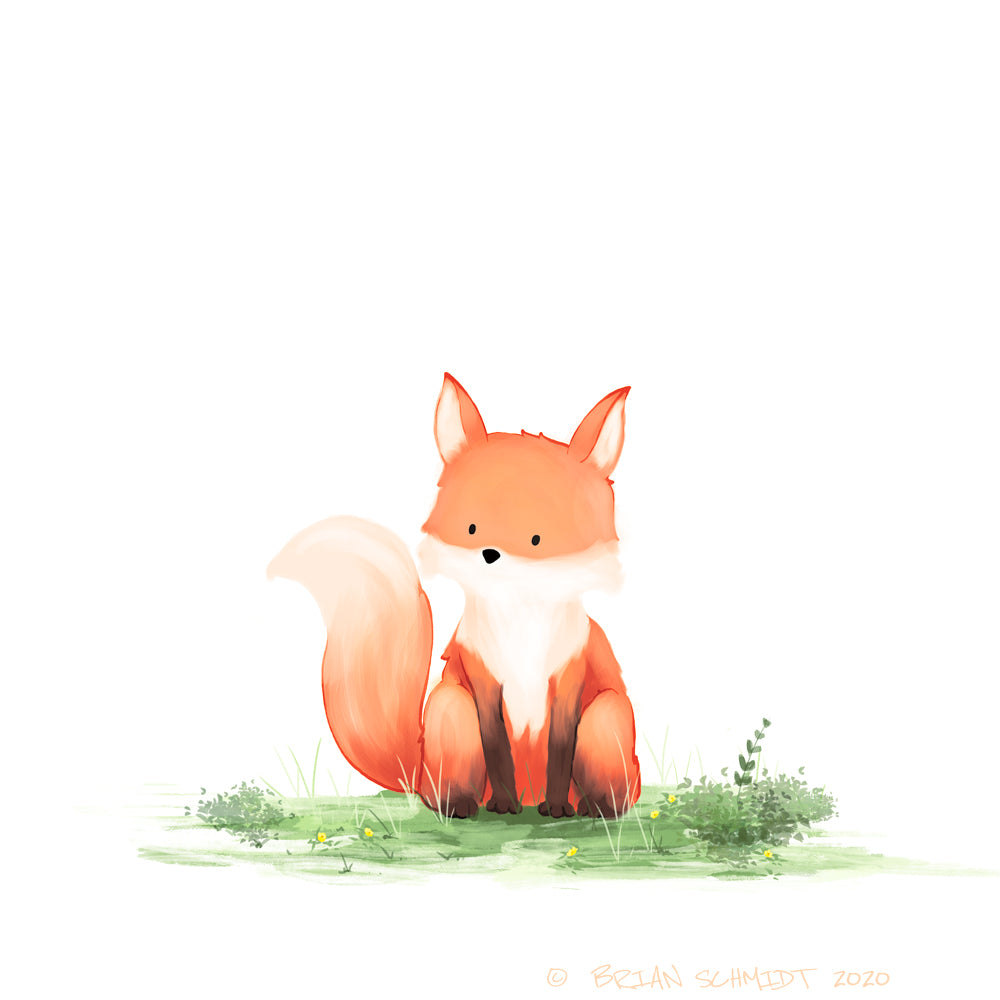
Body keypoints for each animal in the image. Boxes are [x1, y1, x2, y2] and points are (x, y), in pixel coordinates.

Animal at [267, 374, 640, 819]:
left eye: (537, 538)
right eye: (472, 528)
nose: (491, 555)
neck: (521, 625)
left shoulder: (569, 676)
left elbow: (560, 749)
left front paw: (557, 808)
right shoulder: (481, 673)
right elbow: (495, 745)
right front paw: (502, 803)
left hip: (606, 716)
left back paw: (591, 806)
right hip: (451, 704)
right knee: (444, 786)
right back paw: (466, 804)